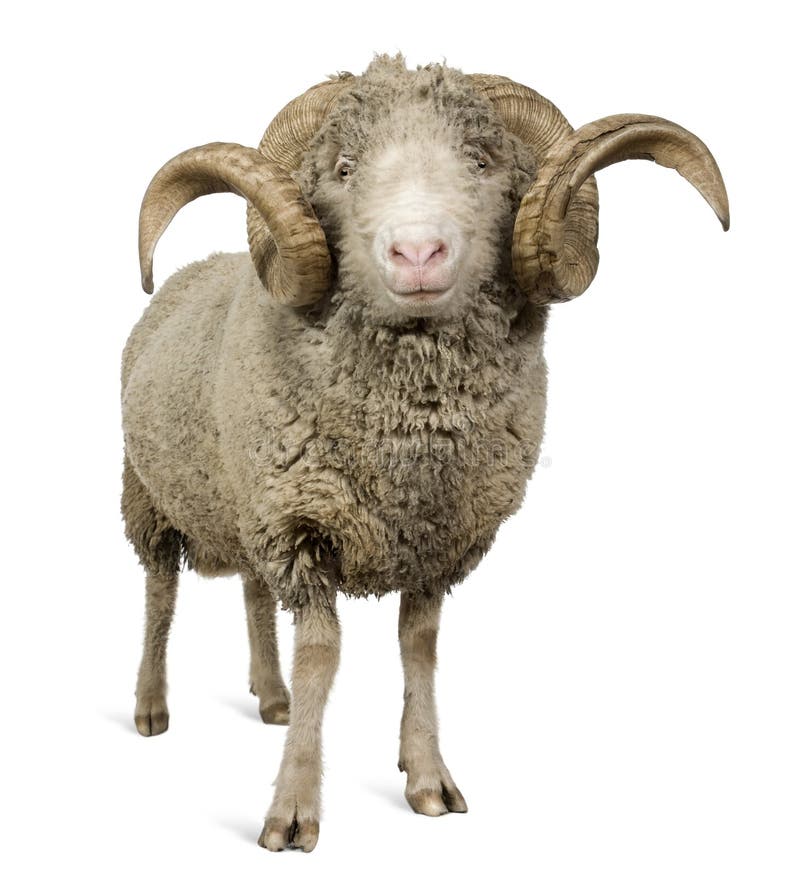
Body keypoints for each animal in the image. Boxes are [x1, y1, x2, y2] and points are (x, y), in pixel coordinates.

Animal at [122, 53, 729, 852]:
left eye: (482, 160)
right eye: (343, 169)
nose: (416, 253)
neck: (409, 442)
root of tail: (189, 271)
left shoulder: (437, 537)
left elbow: (421, 648)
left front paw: (428, 779)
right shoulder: (303, 525)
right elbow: (322, 658)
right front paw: (293, 809)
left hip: (241, 498)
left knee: (253, 590)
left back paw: (271, 697)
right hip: (149, 496)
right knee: (160, 595)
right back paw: (152, 707)